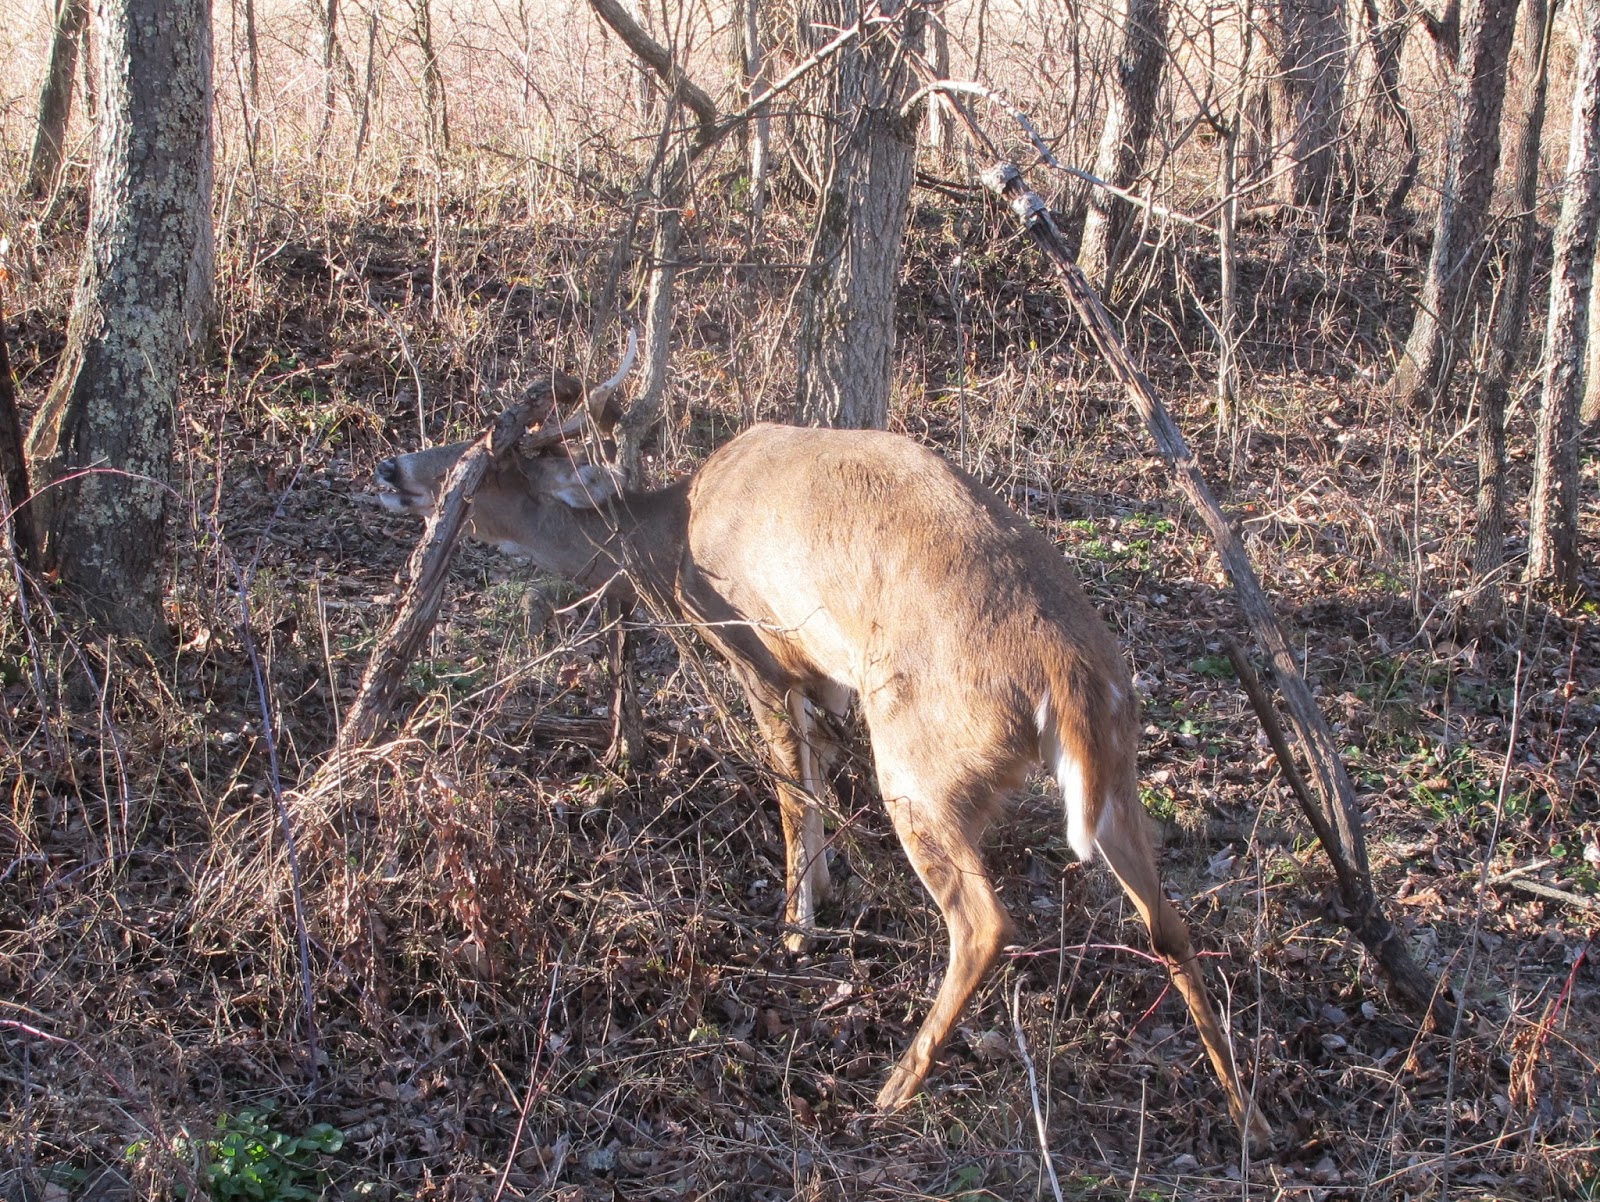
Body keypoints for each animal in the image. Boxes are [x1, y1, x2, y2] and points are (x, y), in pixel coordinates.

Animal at [373, 355, 1273, 1156]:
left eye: (481, 458)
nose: (388, 466)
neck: (665, 543)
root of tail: (1069, 670)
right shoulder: (827, 677)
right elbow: (817, 777)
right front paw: (831, 885)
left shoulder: (758, 651)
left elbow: (789, 787)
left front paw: (796, 927)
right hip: (1117, 766)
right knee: (1169, 923)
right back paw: (1244, 1114)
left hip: (921, 760)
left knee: (983, 921)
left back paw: (893, 1088)